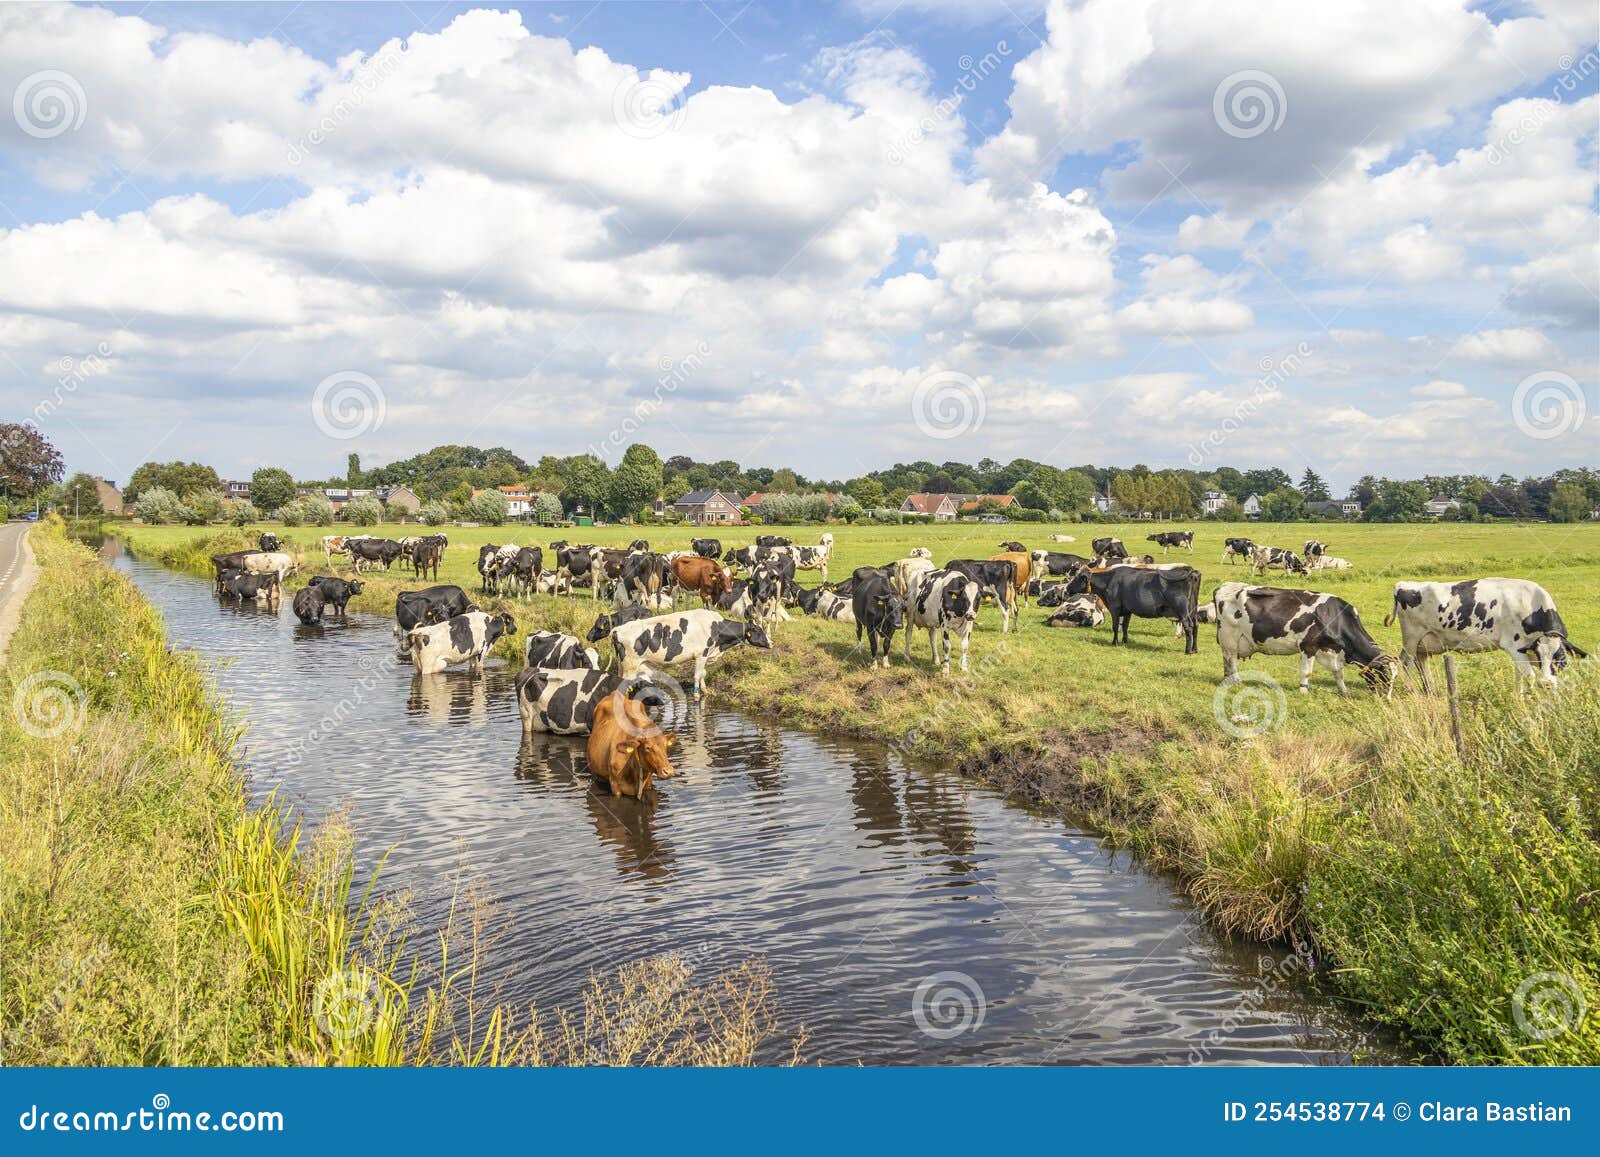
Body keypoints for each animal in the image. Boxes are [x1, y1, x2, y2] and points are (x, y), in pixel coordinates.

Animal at [611, 609, 772, 697]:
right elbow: (696, 675)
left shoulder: (705, 655)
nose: (771, 643)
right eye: (759, 631)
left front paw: (705, 691)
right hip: (630, 666)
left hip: (624, 665)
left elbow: (702, 674)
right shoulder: (701, 655)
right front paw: (696, 695)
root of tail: (617, 630)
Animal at [1064, 565, 1201, 653]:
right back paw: (1195, 649)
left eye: (1076, 579)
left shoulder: (1115, 608)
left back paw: (1188, 650)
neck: (1109, 580)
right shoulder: (1127, 610)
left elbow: (1115, 626)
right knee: (1195, 625)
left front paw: (1115, 642)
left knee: (1188, 626)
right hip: (1192, 609)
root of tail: (1190, 571)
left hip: (1182, 609)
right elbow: (1125, 626)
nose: (1066, 589)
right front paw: (1125, 641)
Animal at [1214, 582, 1397, 695]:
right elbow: (1307, 671)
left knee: (1226, 660)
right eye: (1385, 675)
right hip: (1230, 638)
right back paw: (1237, 681)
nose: (1387, 699)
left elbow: (1338, 672)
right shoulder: (1308, 646)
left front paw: (1343, 691)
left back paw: (1227, 679)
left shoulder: (1330, 650)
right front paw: (1303, 690)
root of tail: (1224, 586)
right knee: (1231, 660)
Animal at [1387, 578, 1586, 690]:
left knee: (1420, 663)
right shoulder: (1515, 647)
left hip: (1425, 641)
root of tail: (1404, 585)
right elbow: (1529, 676)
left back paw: (1430, 691)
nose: (1546, 684)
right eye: (1540, 655)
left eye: (1561, 659)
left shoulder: (1525, 650)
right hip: (1411, 638)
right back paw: (1412, 691)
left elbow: (1520, 677)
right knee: (1406, 663)